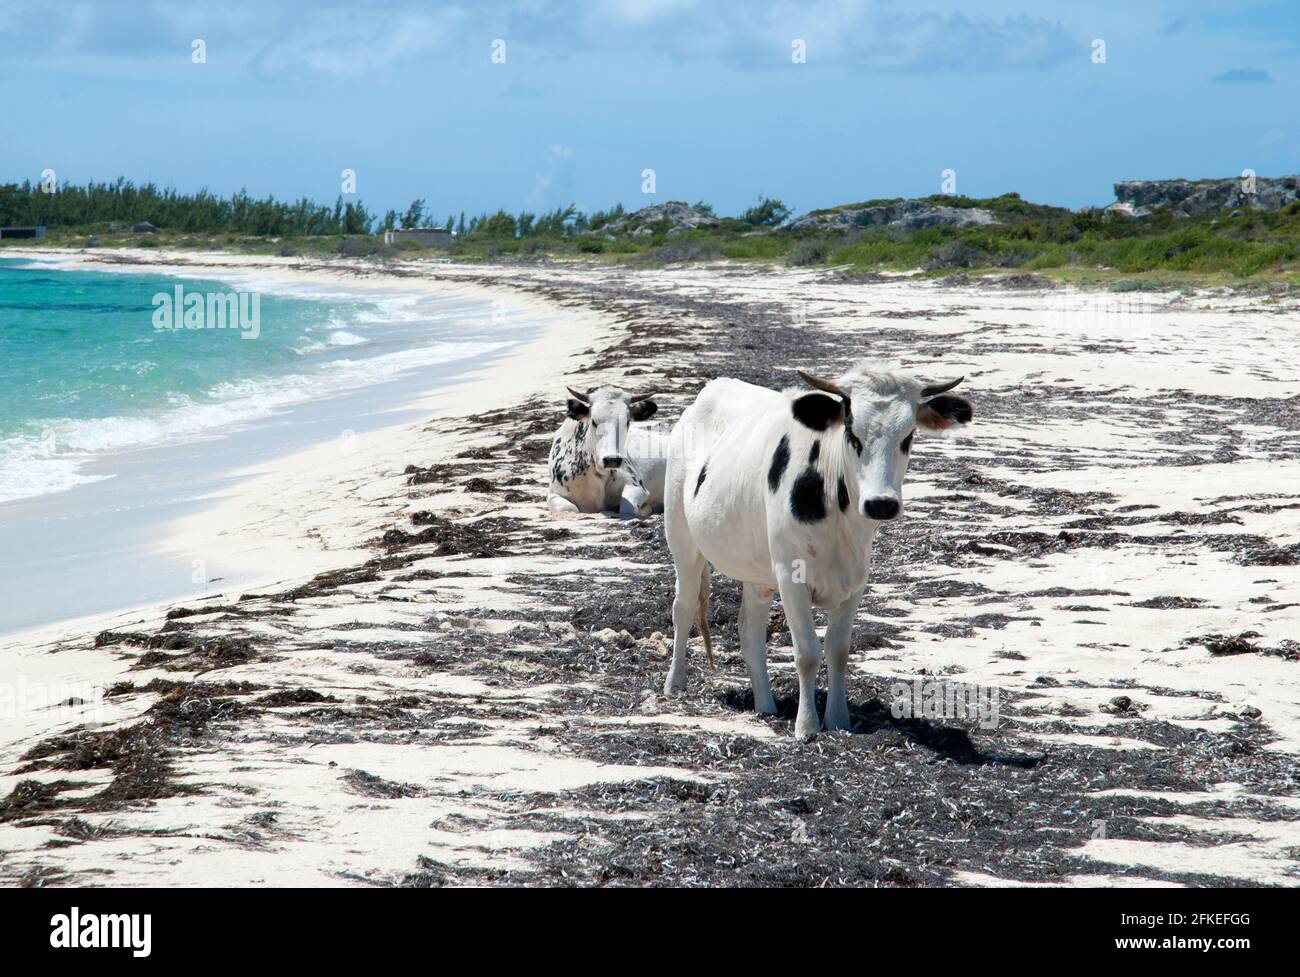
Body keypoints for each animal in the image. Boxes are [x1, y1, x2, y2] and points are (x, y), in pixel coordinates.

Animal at [547, 385, 668, 517]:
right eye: (593, 421)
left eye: (627, 422)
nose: (612, 459)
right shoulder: (554, 494)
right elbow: (570, 508)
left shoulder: (637, 486)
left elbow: (627, 508)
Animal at [661, 362, 972, 737]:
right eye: (853, 435)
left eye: (908, 437)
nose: (881, 504)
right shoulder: (790, 577)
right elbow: (807, 652)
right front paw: (806, 726)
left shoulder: (856, 580)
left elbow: (838, 650)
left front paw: (838, 719)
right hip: (682, 539)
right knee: (683, 606)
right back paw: (675, 683)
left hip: (758, 569)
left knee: (749, 630)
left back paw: (765, 705)